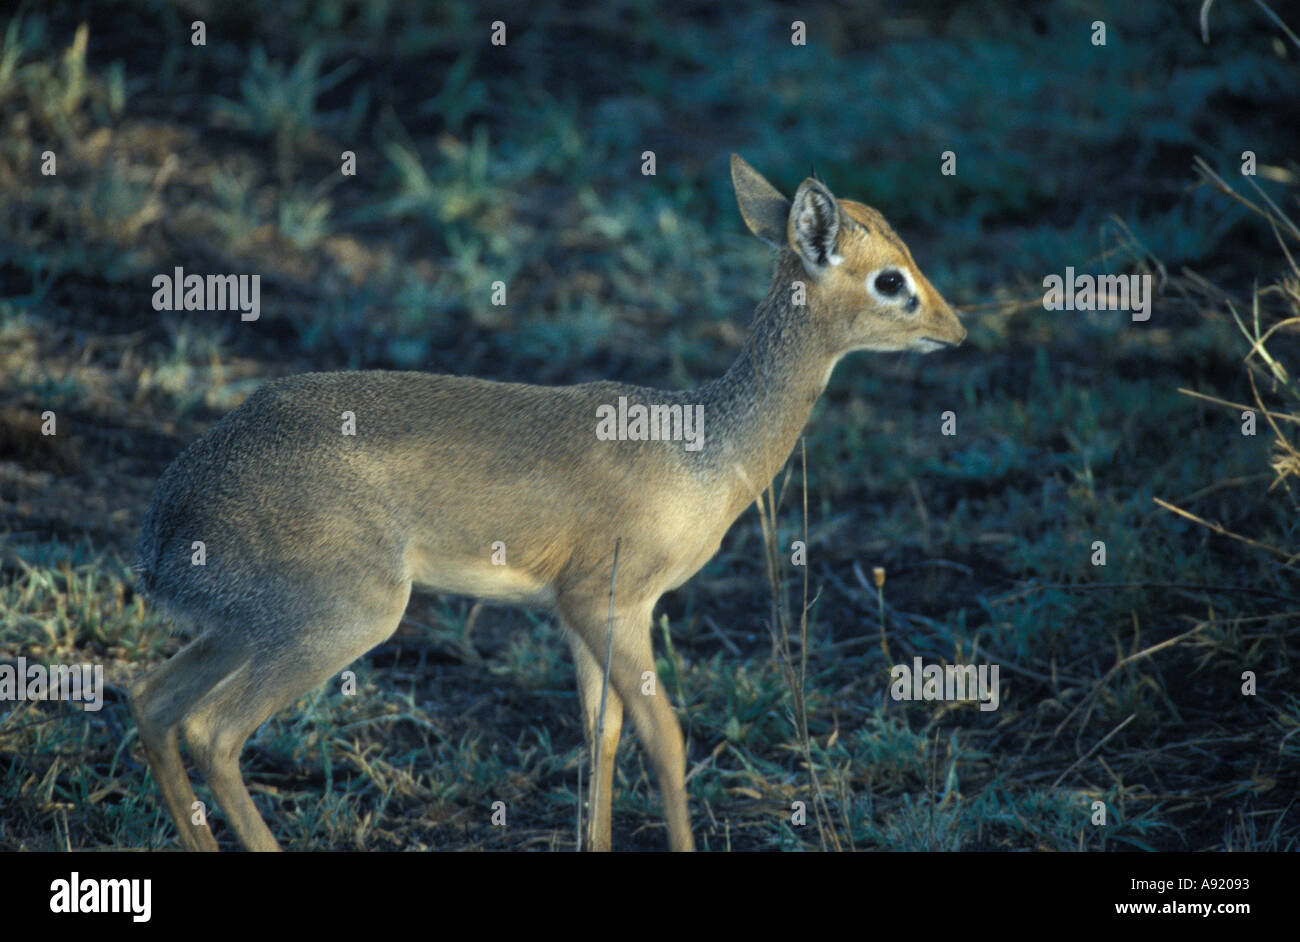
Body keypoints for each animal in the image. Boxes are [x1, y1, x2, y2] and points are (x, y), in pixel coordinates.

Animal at [129, 154, 965, 852]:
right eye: (891, 279)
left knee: (153, 703)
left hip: (243, 628)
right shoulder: (611, 601)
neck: (703, 449)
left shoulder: (586, 616)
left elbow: (602, 733)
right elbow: (664, 739)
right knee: (211, 731)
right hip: (340, 620)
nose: (955, 330)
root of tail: (166, 523)